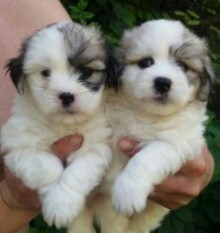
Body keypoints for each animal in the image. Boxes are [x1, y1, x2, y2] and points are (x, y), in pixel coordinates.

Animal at [0, 20, 112, 228]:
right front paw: (56, 204)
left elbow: (78, 172)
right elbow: (47, 166)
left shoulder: (96, 146)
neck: (62, 126)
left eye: (85, 72)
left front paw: (62, 204)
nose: (66, 96)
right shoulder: (20, 146)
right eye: (45, 73)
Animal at [97, 19, 213, 233]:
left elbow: (147, 157)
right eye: (145, 62)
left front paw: (127, 191)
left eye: (182, 65)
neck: (149, 116)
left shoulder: (178, 142)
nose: (163, 82)